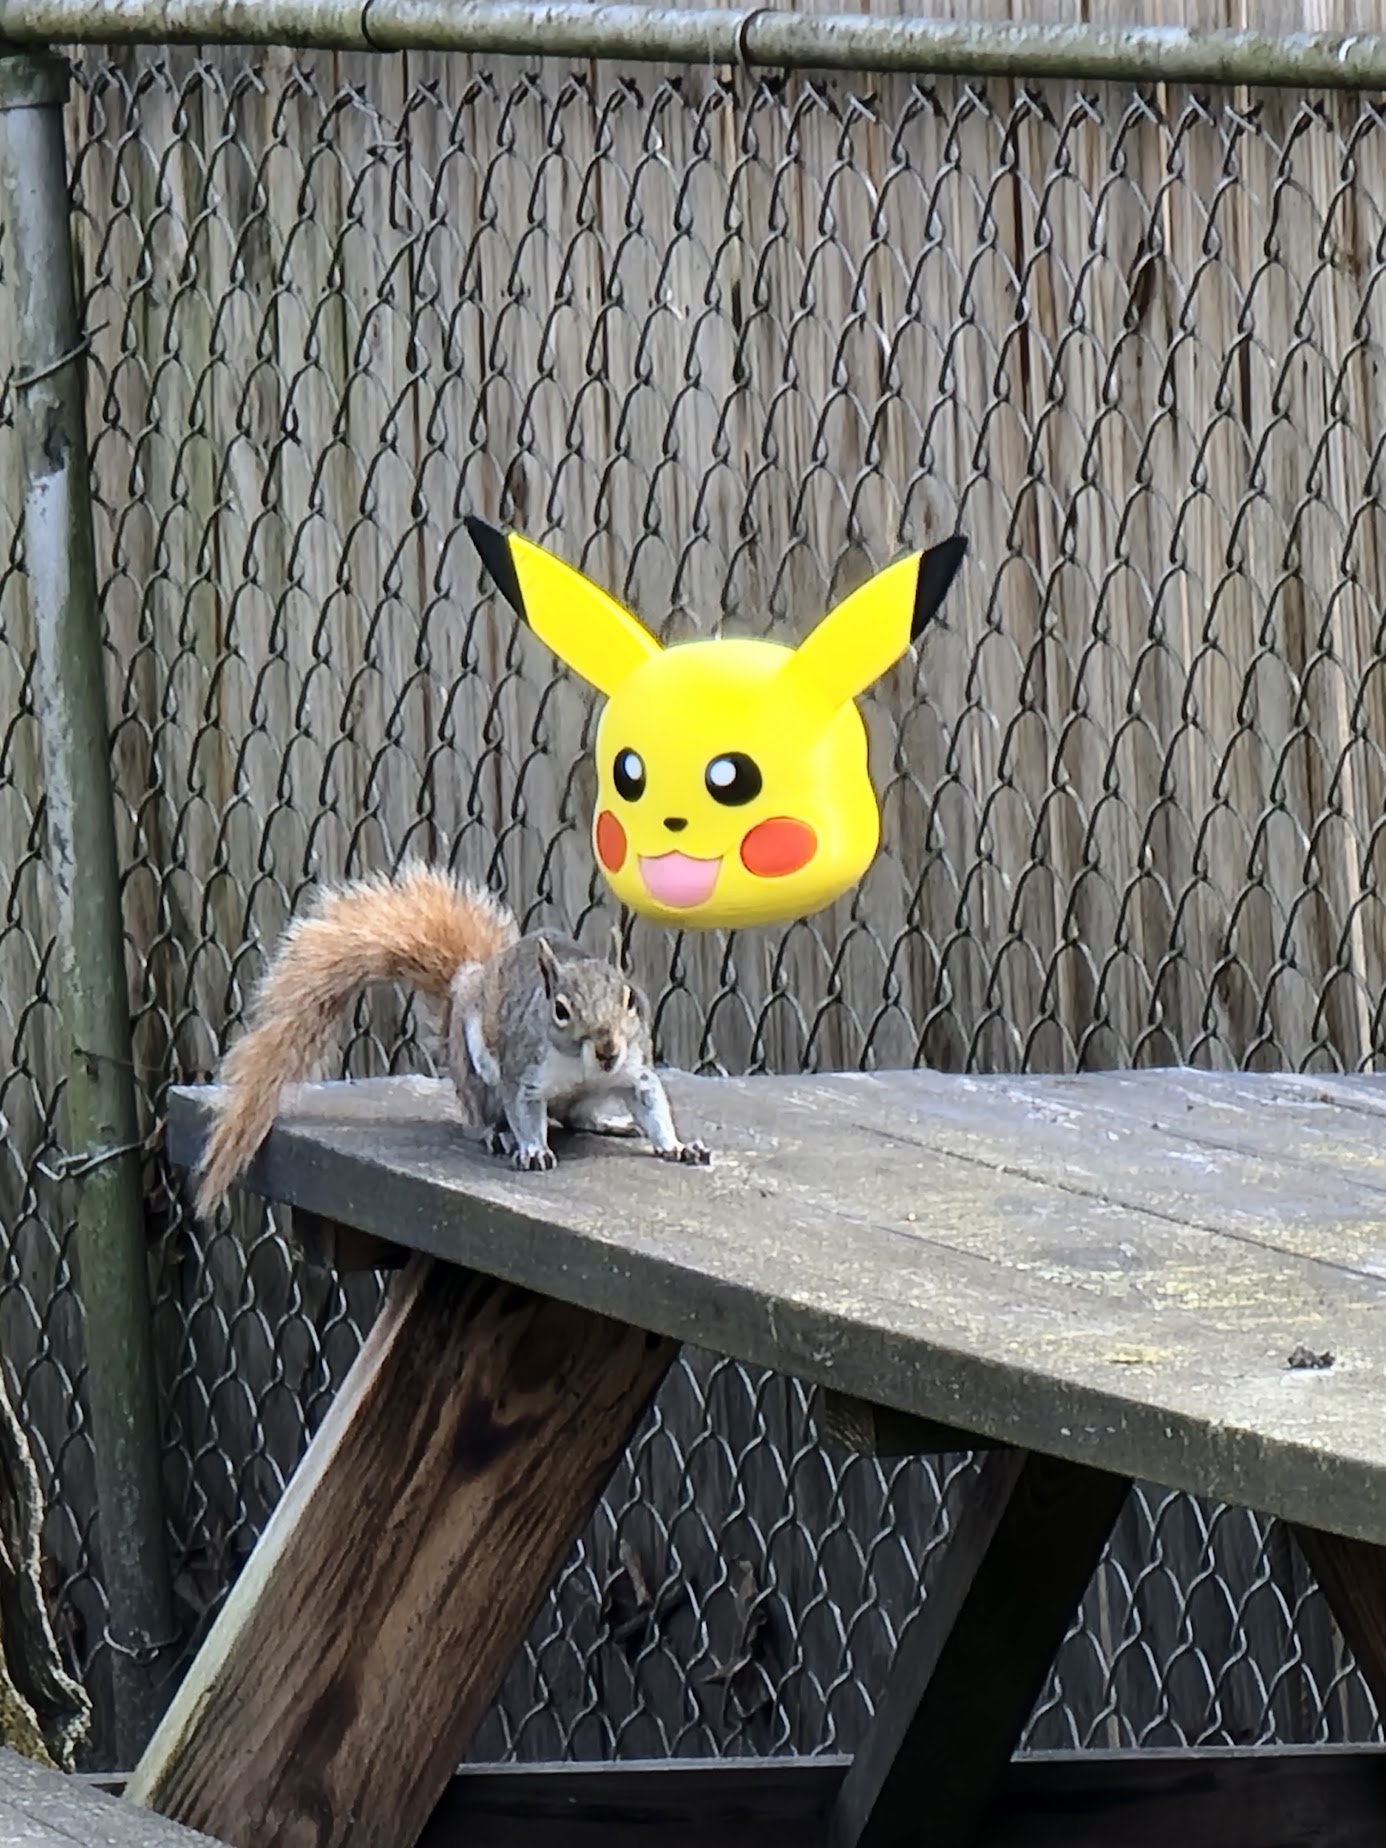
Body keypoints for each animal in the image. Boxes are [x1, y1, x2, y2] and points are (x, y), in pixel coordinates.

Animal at [194, 863, 710, 1219]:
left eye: (630, 998)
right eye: (561, 1010)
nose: (607, 1050)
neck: (582, 1067)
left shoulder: (635, 1072)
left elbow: (652, 1106)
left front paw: (677, 1146)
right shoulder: (523, 1075)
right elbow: (526, 1113)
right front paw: (532, 1148)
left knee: (576, 1116)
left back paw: (609, 1122)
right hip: (476, 1075)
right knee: (483, 1118)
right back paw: (498, 1134)